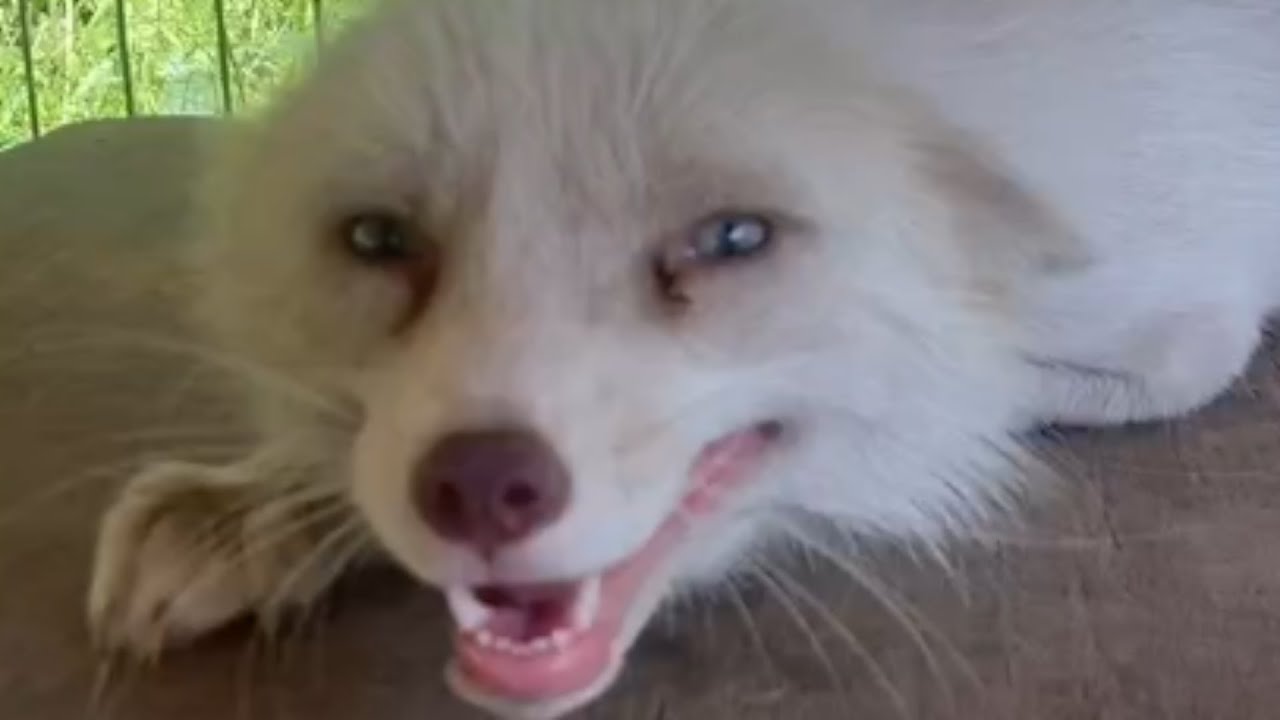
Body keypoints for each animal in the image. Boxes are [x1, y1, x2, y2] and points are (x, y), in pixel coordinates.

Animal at [86, 0, 1280, 717]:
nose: (481, 485)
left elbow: (972, 392)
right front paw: (258, 510)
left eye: (731, 239)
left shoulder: (1182, 334)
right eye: (380, 240)